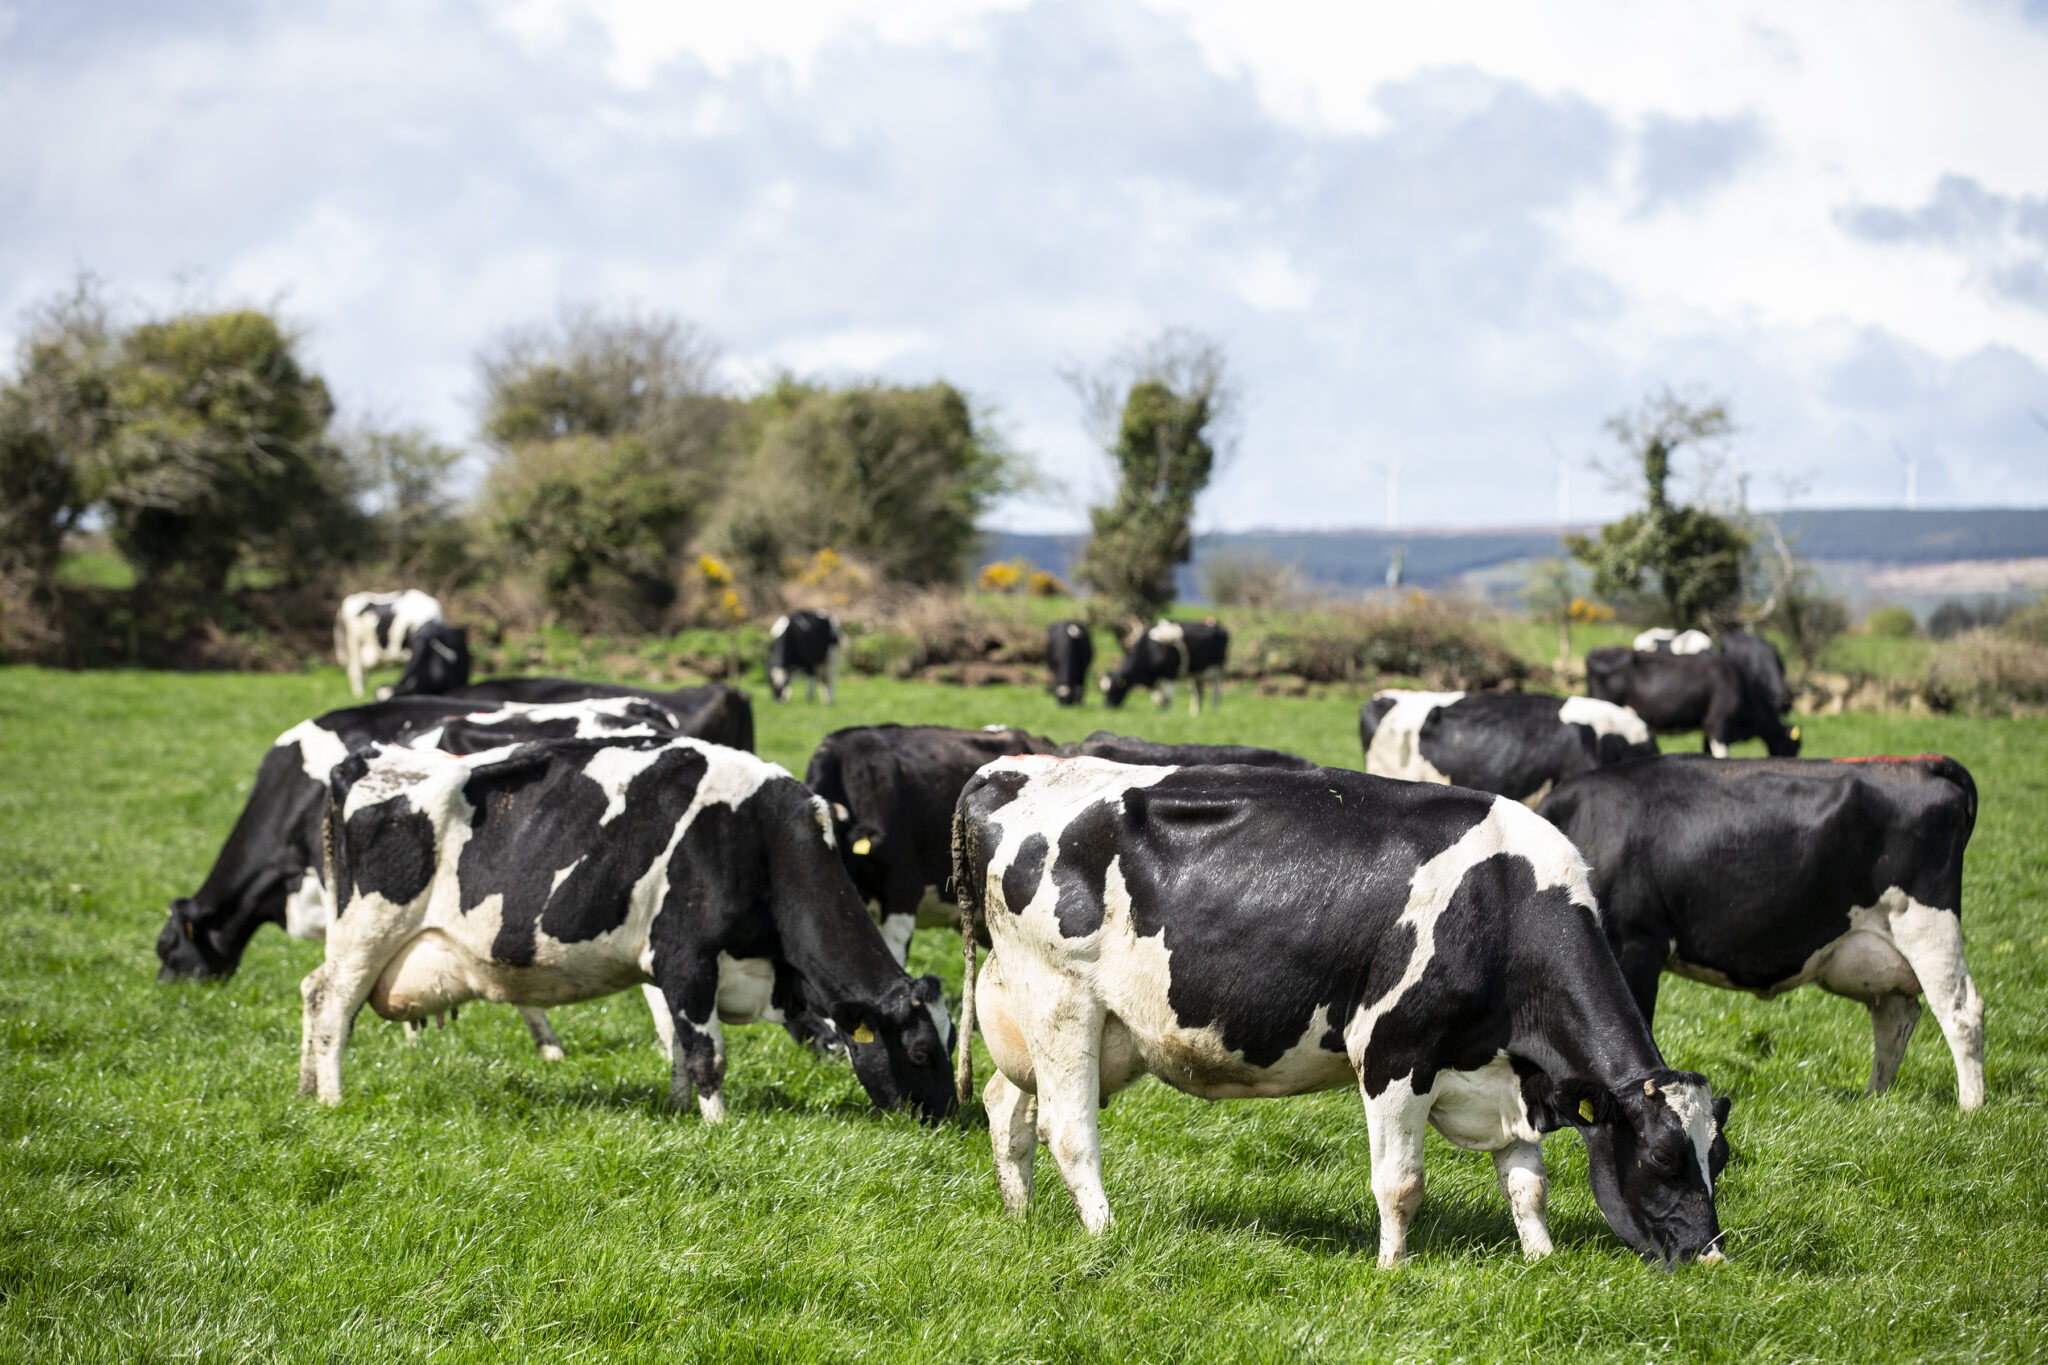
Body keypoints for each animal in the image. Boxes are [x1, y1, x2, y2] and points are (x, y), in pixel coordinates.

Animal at [301, 734, 957, 1125]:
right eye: (922, 1051)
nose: (951, 1118)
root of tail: (367, 758)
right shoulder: (687, 957)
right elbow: (707, 1053)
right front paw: (719, 1125)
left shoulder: (669, 968)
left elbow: (675, 1041)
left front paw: (679, 1109)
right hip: (369, 930)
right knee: (332, 1005)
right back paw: (333, 1100)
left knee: (310, 990)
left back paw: (307, 1089)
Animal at [952, 756, 1731, 1267]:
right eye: (1662, 1157)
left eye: (1719, 1155)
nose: (1711, 1255)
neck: (1507, 900)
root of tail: (1009, 768)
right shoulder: (1394, 1050)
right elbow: (1402, 1183)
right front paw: (1393, 1270)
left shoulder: (1510, 1071)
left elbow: (1527, 1185)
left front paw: (1540, 1261)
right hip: (1060, 999)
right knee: (1068, 1130)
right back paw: (1105, 1234)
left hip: (1032, 1012)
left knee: (1006, 1109)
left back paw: (1021, 1216)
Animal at [1101, 619, 1229, 715]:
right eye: (1104, 691)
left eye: (1115, 689)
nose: (1108, 706)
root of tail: (1218, 626)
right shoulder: (1157, 681)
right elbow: (1158, 699)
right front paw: (1160, 711)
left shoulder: (1170, 674)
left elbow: (1167, 699)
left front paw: (1167, 714)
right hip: (1195, 673)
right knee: (1198, 692)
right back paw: (1194, 713)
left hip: (1218, 669)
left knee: (1216, 690)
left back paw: (1214, 709)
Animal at [1537, 754, 1985, 1110]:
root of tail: (1920, 762)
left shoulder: (1637, 943)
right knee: (1895, 1018)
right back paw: (1874, 1099)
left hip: (1928, 927)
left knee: (1962, 1014)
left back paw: (1970, 1108)